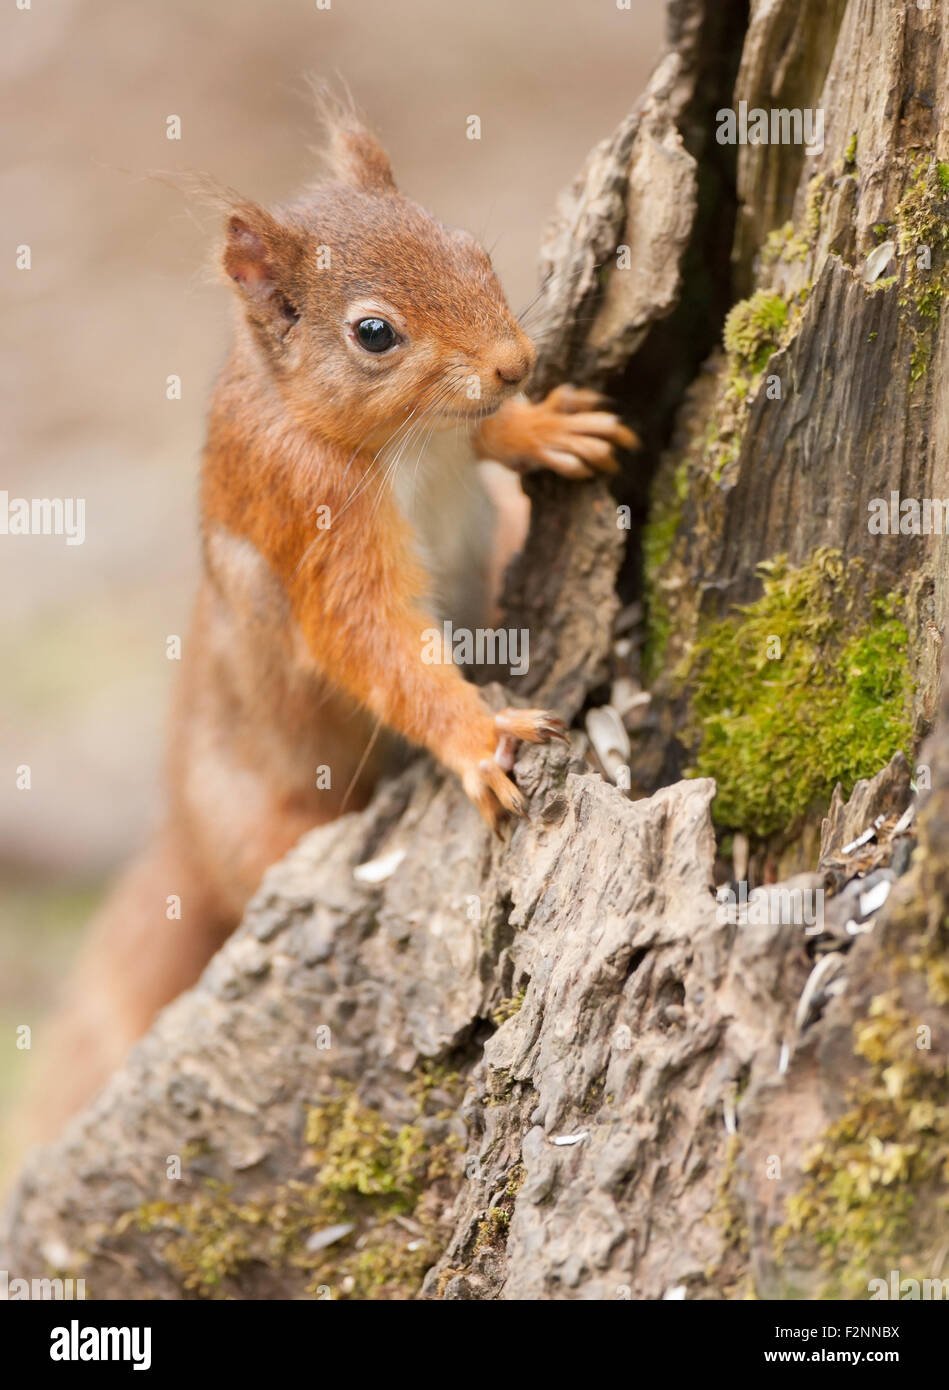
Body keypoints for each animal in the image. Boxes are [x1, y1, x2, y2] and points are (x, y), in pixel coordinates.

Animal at [15, 99, 635, 1149]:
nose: (515, 362)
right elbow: (369, 644)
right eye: (374, 333)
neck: (401, 444)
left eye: (471, 248)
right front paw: (477, 737)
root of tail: (184, 832)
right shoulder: (312, 519)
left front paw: (542, 425)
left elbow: (488, 437)